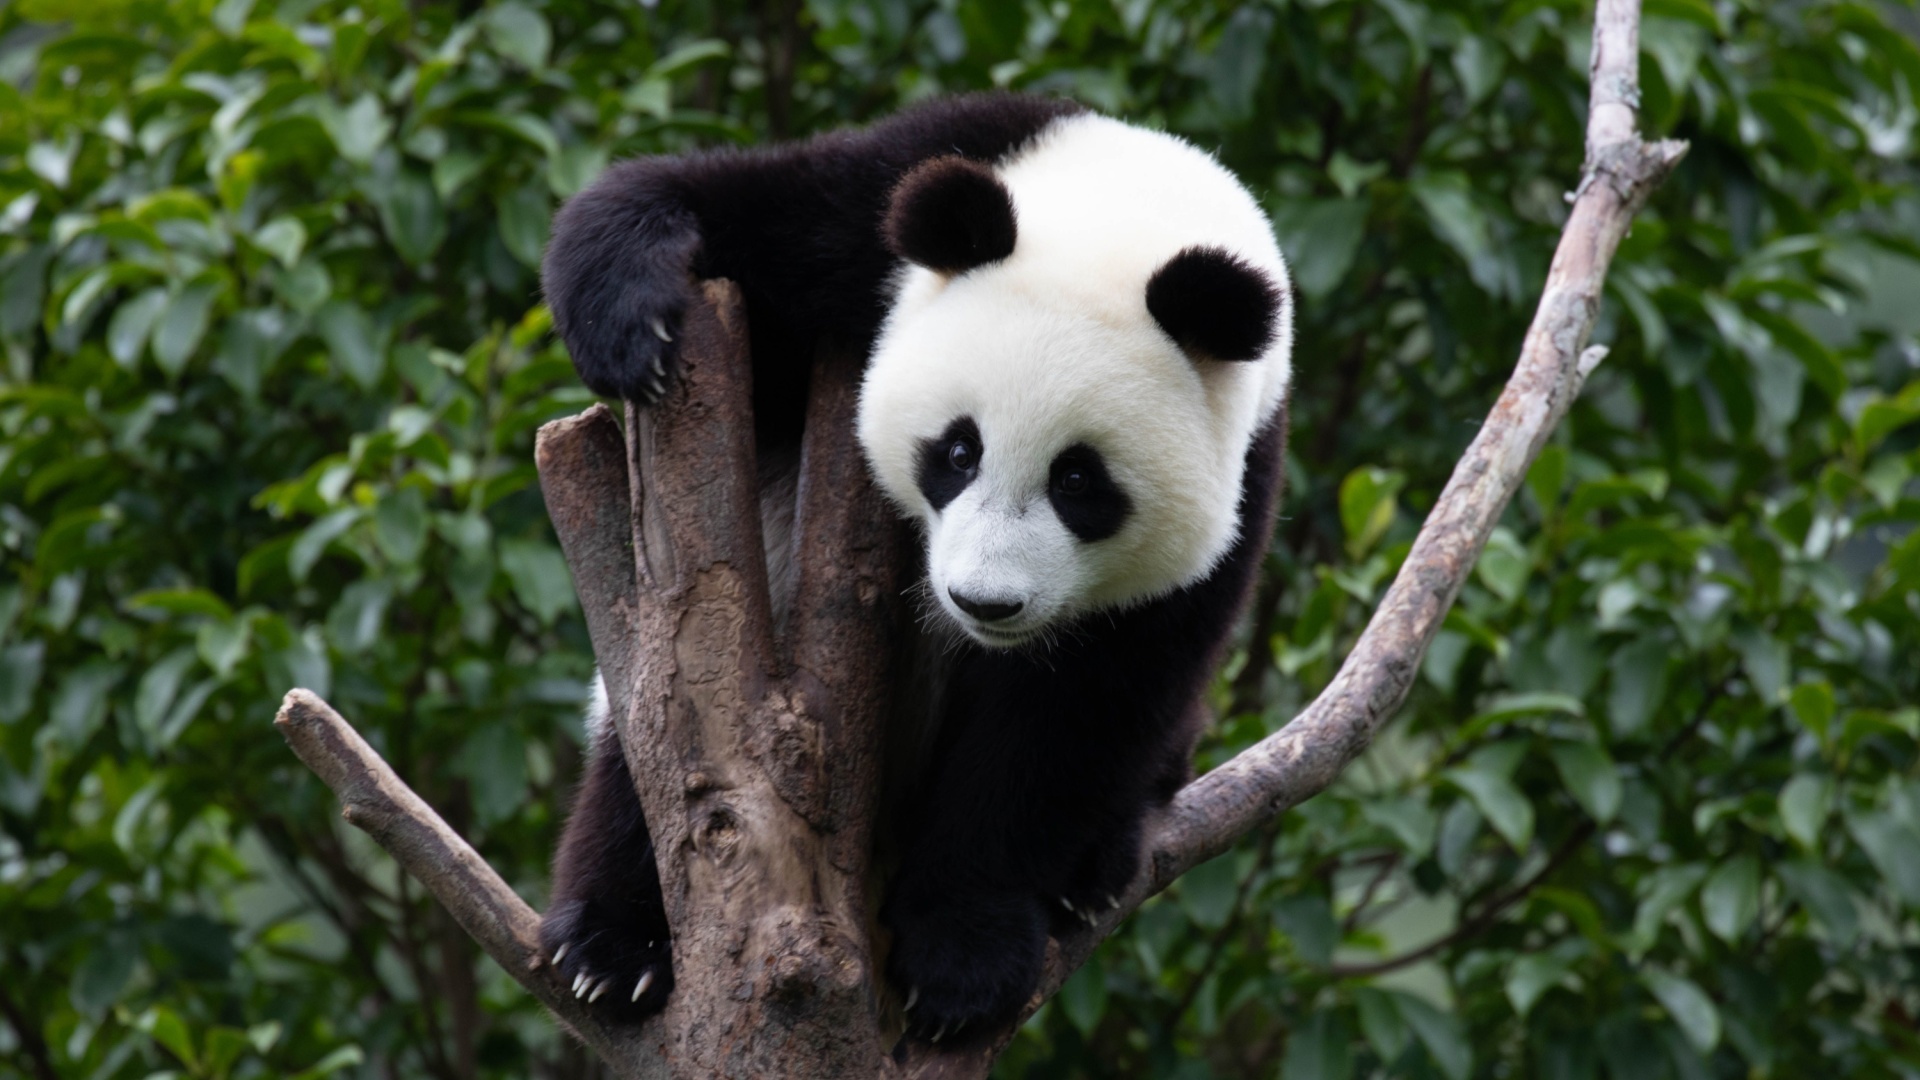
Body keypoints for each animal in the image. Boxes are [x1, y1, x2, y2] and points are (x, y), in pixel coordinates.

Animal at [538, 93, 1292, 1039]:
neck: (1129, 204)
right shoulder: (869, 224)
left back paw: (1093, 869)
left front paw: (962, 960)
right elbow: (714, 205)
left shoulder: (1240, 485)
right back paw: (611, 947)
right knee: (653, 754)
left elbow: (1069, 723)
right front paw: (628, 327)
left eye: (1080, 482)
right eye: (958, 451)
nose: (985, 602)